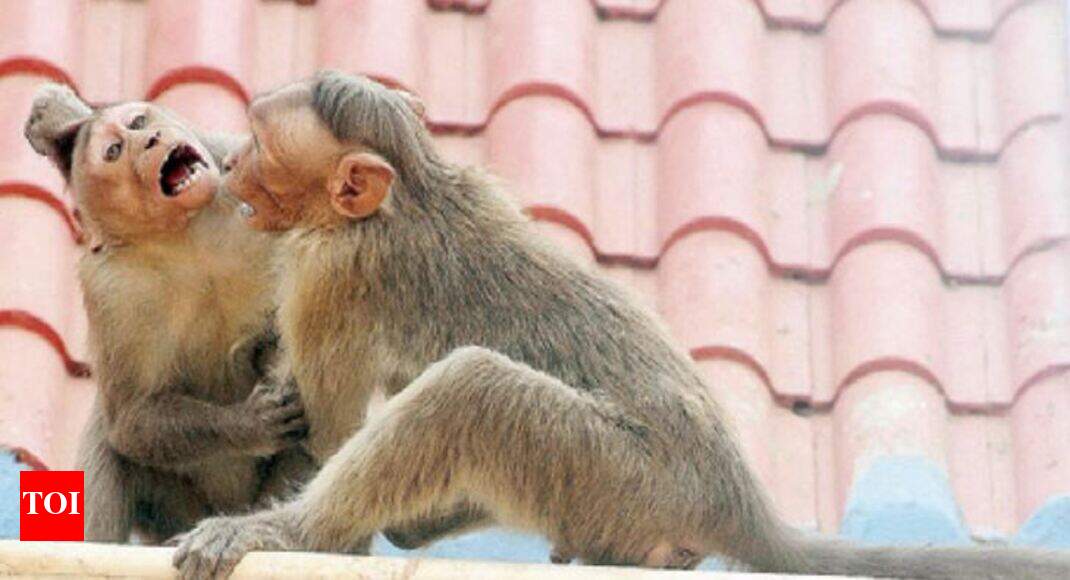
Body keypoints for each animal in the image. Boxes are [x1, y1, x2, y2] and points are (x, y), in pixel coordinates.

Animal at [24, 84, 314, 544]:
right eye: (115, 151)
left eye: (139, 123)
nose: (152, 140)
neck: (188, 233)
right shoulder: (108, 289)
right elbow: (131, 417)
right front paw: (247, 425)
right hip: (178, 514)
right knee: (111, 436)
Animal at [171, 72, 1070, 579]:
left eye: (260, 144)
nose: (231, 163)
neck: (409, 195)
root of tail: (732, 490)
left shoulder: (332, 273)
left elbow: (329, 428)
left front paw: (295, 508)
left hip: (623, 473)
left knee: (473, 389)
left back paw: (296, 528)